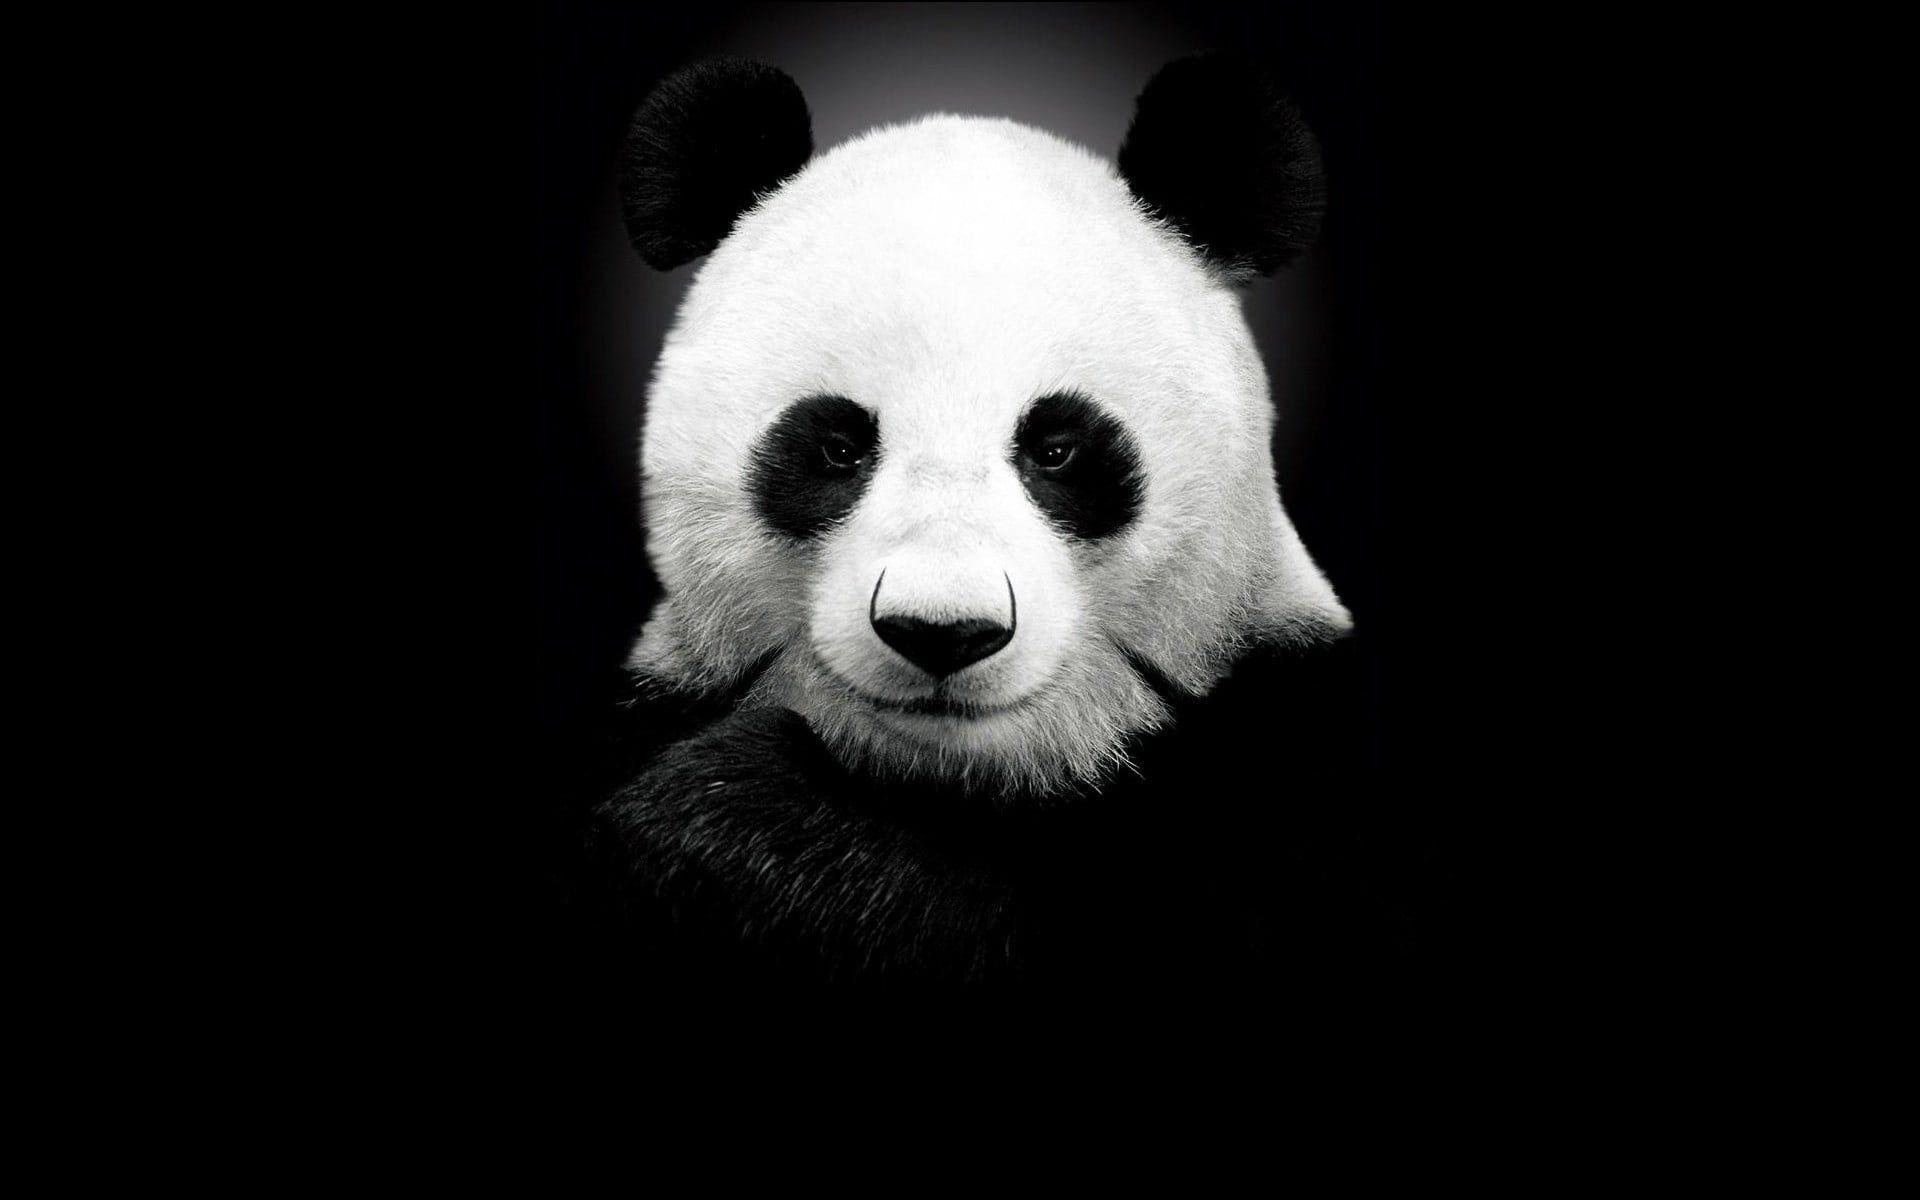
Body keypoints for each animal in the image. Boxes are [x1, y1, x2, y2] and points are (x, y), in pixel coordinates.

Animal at [584, 55, 1416, 987]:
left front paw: (735, 824)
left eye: (1056, 449)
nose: (942, 632)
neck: (954, 779)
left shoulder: (1295, 759)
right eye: (837, 447)